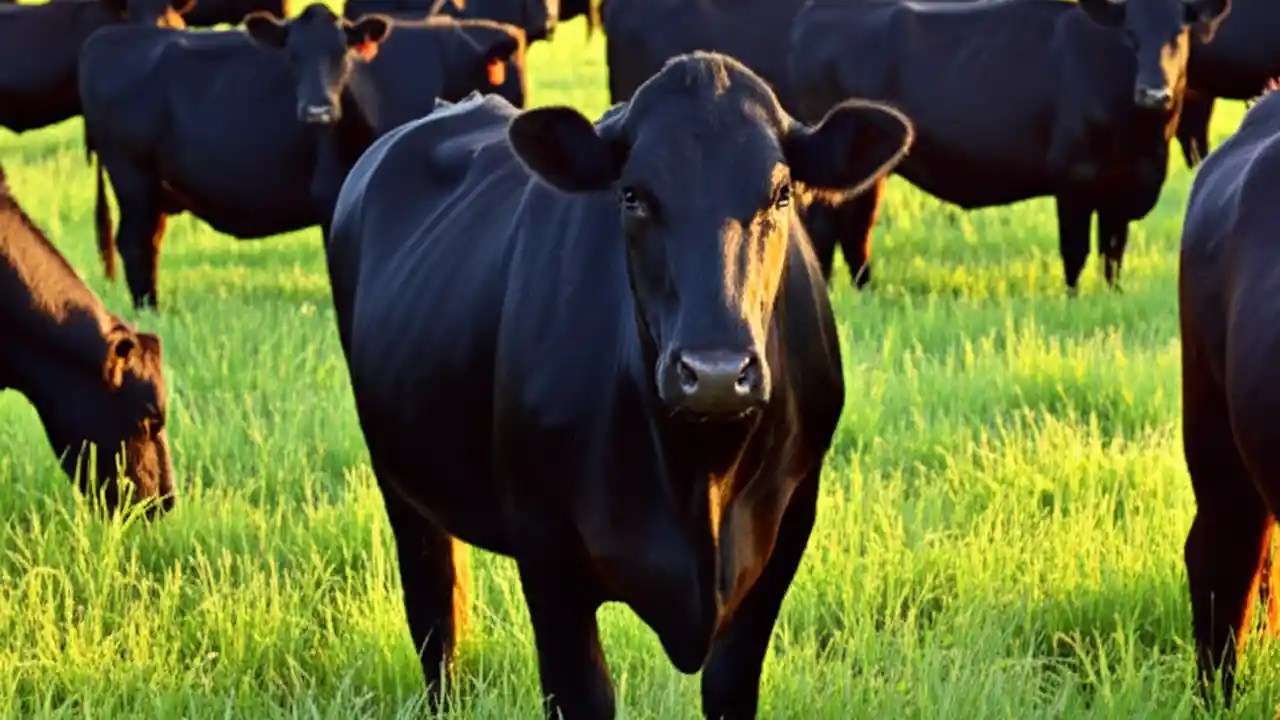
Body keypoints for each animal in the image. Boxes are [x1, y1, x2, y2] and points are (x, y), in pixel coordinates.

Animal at [79, 4, 522, 309]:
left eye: (343, 53)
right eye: (292, 57)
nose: (316, 111)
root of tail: (105, 40)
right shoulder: (332, 191)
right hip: (131, 175)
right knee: (135, 242)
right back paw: (149, 310)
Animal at [327, 53, 912, 719]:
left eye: (781, 193)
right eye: (632, 195)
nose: (715, 374)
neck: (698, 475)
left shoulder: (786, 531)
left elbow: (729, 688)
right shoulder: (546, 549)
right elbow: (582, 695)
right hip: (399, 484)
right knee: (434, 617)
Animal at [790, 0, 1231, 292]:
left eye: (1178, 35)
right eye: (1131, 36)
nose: (1153, 92)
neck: (1143, 139)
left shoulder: (1121, 188)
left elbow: (1113, 253)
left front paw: (1112, 294)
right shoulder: (1073, 180)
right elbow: (1076, 253)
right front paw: (1073, 299)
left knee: (856, 231)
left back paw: (866, 290)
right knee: (827, 229)